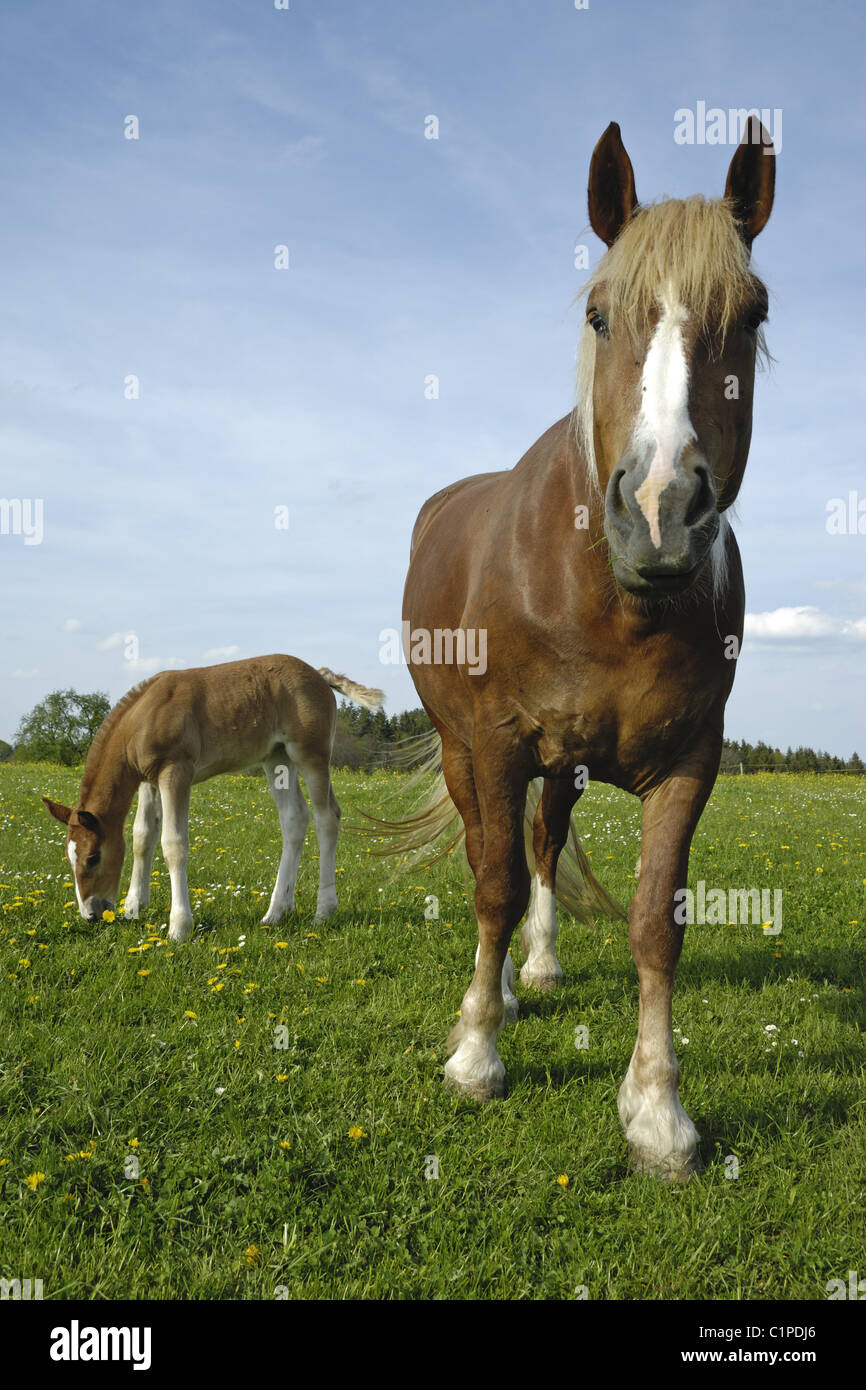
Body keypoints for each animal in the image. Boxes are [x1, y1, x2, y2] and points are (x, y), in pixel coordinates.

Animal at [43, 656, 384, 941]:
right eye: (70, 858)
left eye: (92, 857)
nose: (90, 914)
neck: (142, 718)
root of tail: (319, 675)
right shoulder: (148, 781)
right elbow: (142, 837)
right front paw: (134, 907)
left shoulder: (176, 771)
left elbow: (173, 843)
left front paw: (179, 926)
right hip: (277, 757)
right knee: (294, 819)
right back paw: (276, 912)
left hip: (310, 753)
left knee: (327, 817)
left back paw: (323, 911)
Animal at [395, 118, 775, 1180]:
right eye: (602, 315)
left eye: (754, 313)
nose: (661, 512)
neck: (609, 599)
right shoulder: (492, 744)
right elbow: (489, 885)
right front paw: (476, 1054)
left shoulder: (689, 762)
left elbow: (654, 922)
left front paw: (658, 1114)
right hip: (466, 750)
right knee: (495, 852)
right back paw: (497, 995)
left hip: (562, 765)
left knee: (542, 840)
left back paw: (539, 963)